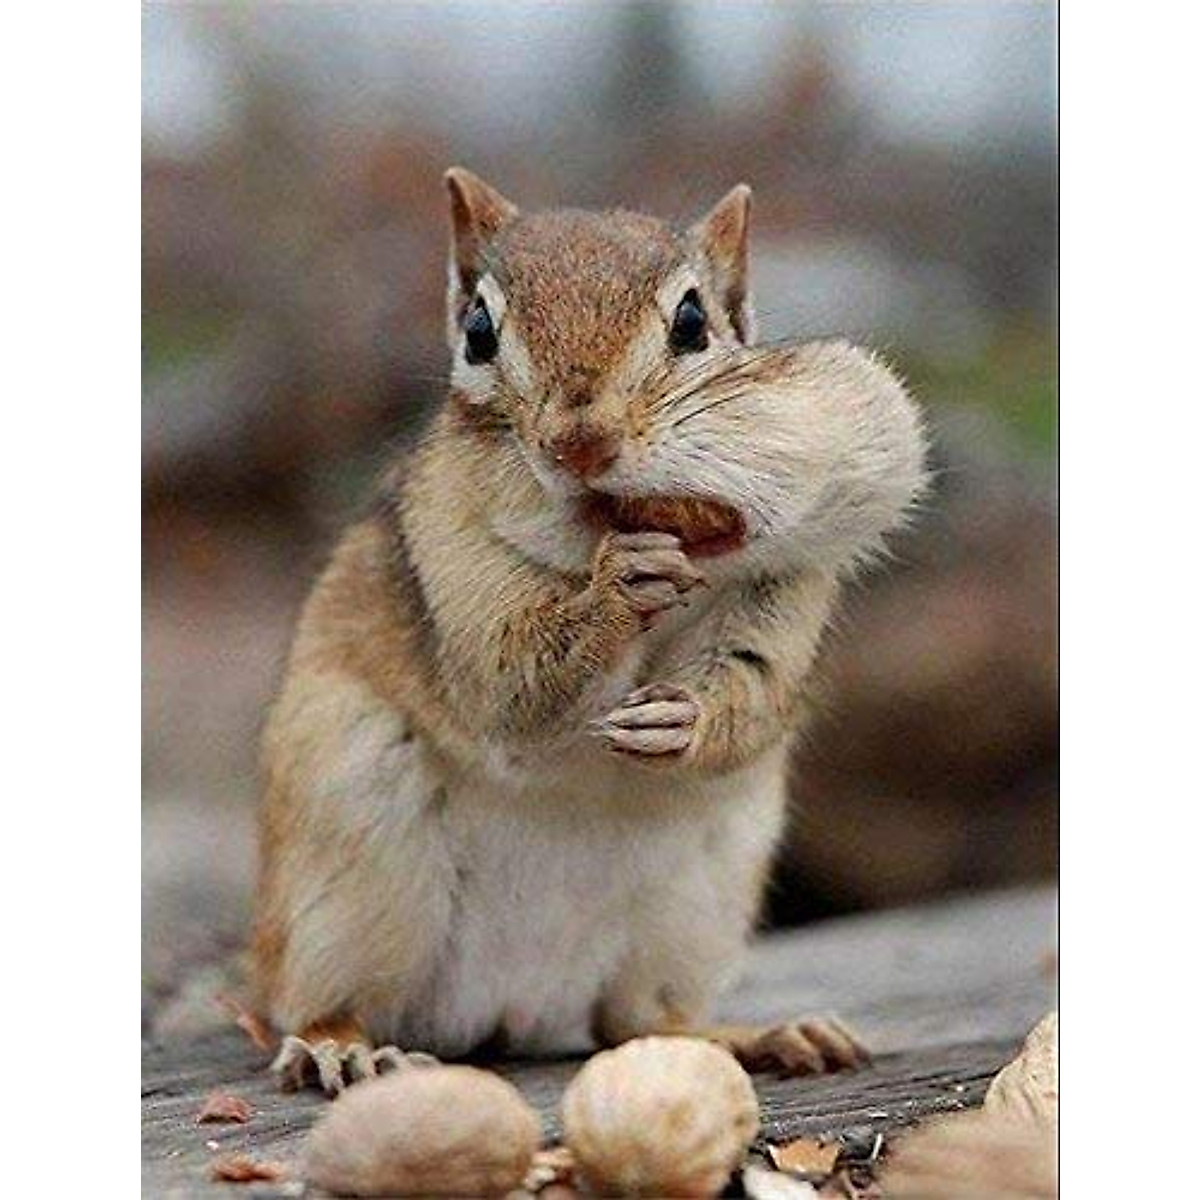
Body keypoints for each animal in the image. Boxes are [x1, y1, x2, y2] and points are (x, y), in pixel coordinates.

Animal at [251, 169, 927, 1095]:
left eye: (692, 323)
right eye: (477, 332)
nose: (580, 441)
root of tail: (514, 1007)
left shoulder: (786, 588)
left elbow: (755, 684)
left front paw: (683, 718)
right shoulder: (449, 549)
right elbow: (508, 680)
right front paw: (618, 586)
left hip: (698, 900)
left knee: (640, 1024)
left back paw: (762, 1034)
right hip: (349, 864)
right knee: (324, 1001)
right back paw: (340, 1046)